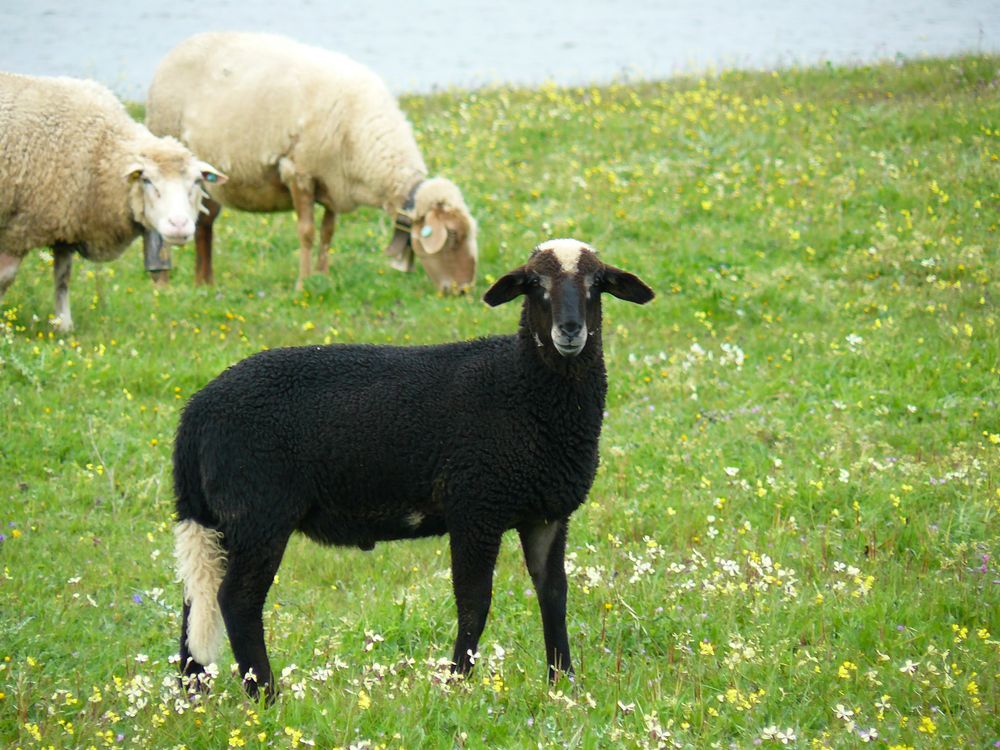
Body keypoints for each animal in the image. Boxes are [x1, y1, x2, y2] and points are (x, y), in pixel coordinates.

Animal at [0, 72, 226, 331]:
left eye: (198, 181)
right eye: (147, 180)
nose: (178, 225)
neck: (101, 152)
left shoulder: (65, 224)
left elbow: (63, 277)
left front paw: (64, 325)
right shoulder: (18, 229)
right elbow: (5, 278)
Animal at [146, 31, 477, 293]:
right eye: (453, 236)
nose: (462, 290)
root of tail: (182, 45)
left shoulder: (334, 184)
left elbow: (328, 233)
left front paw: (323, 276)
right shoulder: (298, 172)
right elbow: (306, 231)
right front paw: (303, 283)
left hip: (206, 176)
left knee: (205, 221)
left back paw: (205, 283)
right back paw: (163, 284)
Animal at [172, 238, 654, 700]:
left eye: (597, 283)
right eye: (534, 284)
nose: (569, 331)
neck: (521, 388)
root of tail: (194, 414)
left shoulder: (547, 514)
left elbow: (553, 593)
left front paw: (563, 686)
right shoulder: (475, 506)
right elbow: (474, 601)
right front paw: (458, 683)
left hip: (220, 519)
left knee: (196, 600)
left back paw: (190, 695)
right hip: (259, 511)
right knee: (236, 600)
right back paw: (266, 697)